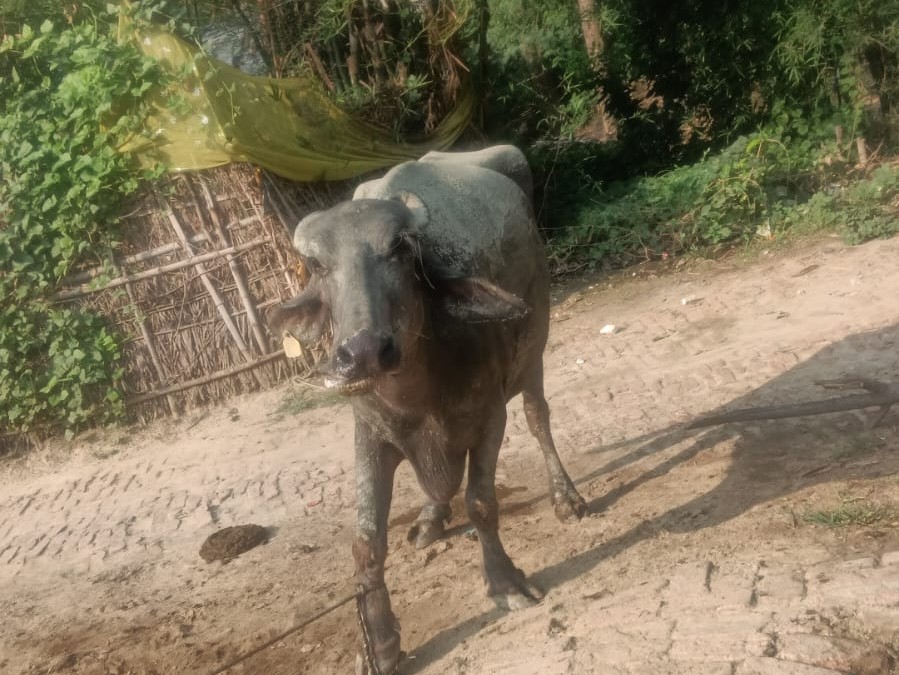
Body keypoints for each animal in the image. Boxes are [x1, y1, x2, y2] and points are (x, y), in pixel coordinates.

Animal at [270, 145, 586, 674]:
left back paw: (566, 496)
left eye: (399, 249)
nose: (364, 351)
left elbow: (481, 503)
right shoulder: (368, 433)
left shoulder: (489, 417)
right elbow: (366, 541)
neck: (415, 392)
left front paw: (506, 583)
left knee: (538, 417)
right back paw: (430, 518)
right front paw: (379, 642)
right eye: (316, 264)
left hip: (534, 351)